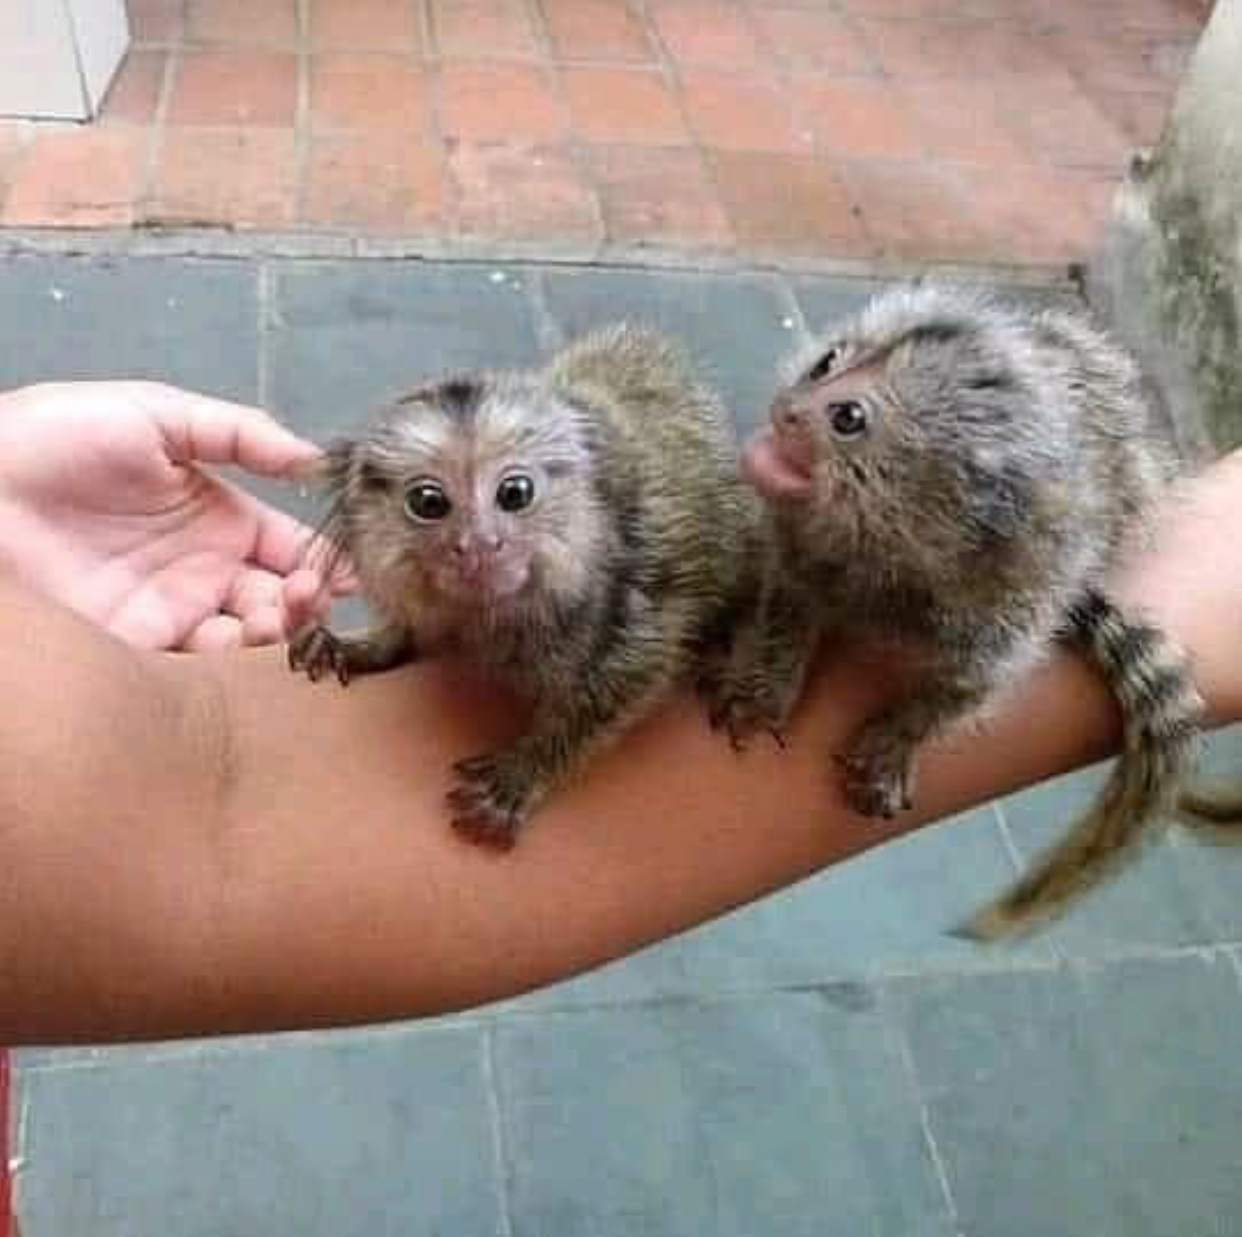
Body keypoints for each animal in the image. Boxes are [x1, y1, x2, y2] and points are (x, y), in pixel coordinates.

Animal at [287, 322, 767, 850]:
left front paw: (525, 770)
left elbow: (631, 675)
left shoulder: (633, 588)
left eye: (515, 493)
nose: (479, 544)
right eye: (429, 502)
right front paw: (362, 645)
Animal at [715, 279, 1222, 939]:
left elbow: (969, 687)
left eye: (847, 418)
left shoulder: (1013, 602)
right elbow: (790, 600)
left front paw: (898, 741)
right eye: (826, 363)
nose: (789, 408)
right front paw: (766, 687)